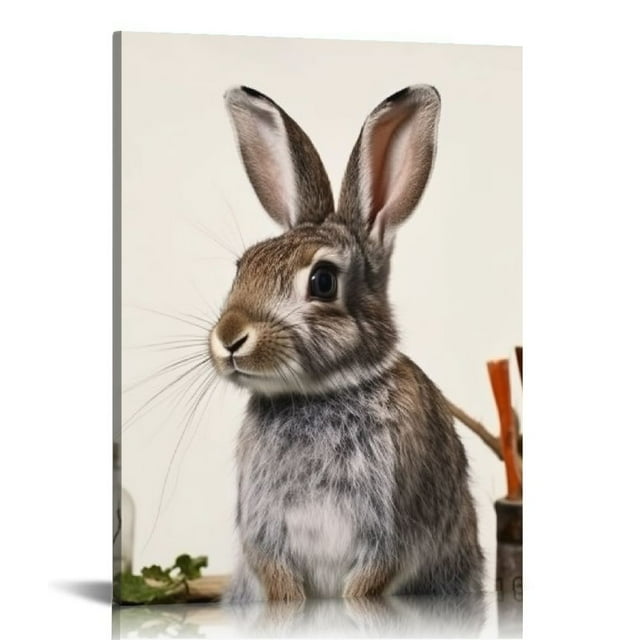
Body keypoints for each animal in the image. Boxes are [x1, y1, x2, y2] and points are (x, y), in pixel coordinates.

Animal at [209, 84, 484, 603]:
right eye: (241, 267)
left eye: (322, 281)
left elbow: (368, 584)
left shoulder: (394, 528)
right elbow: (281, 583)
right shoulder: (264, 532)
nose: (229, 338)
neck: (319, 394)